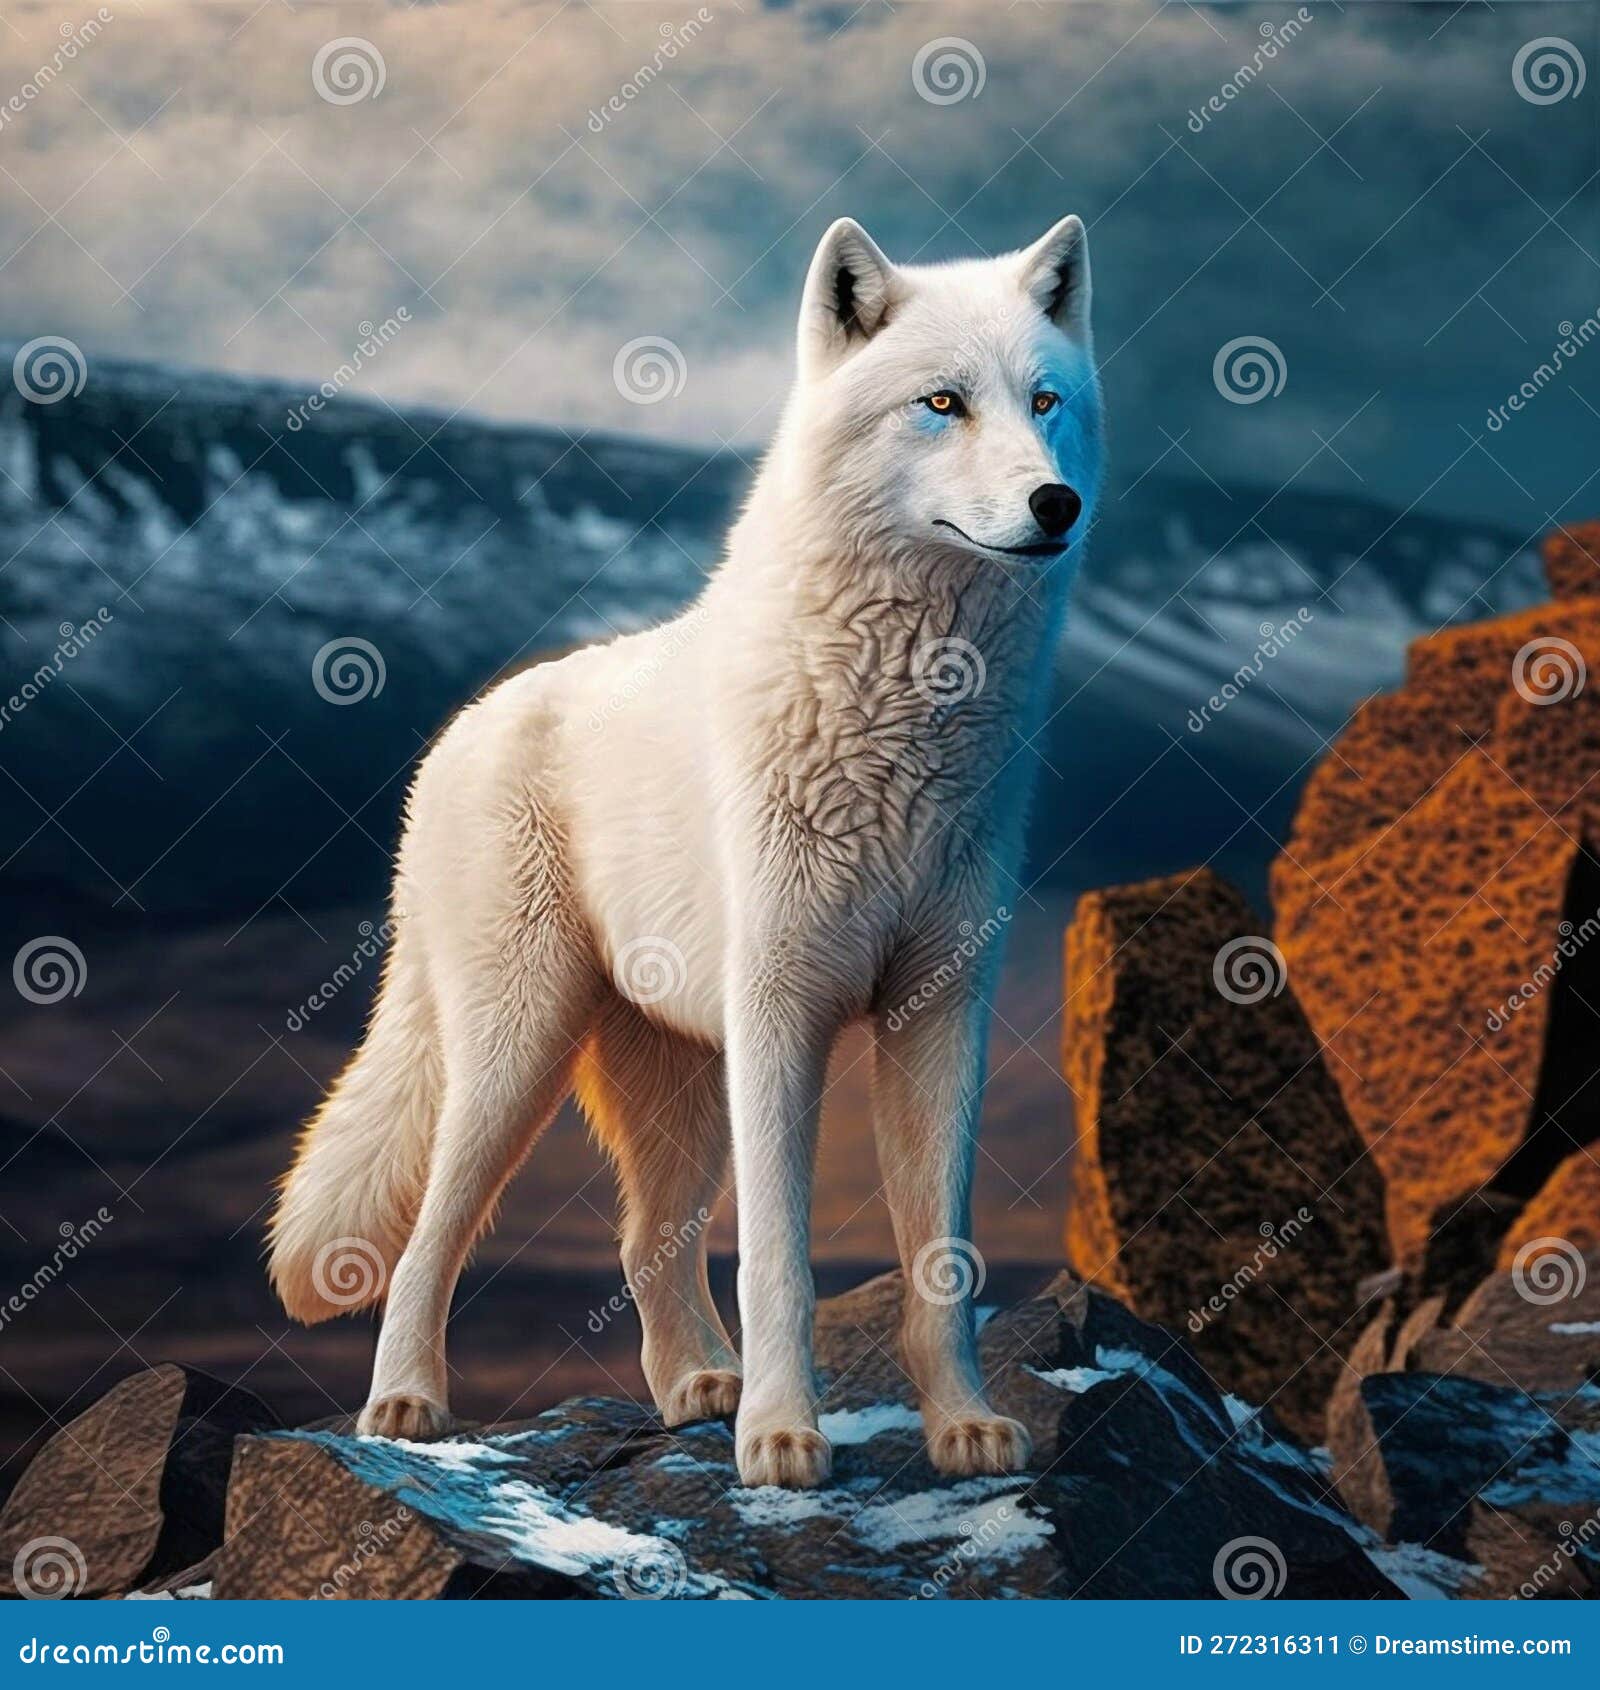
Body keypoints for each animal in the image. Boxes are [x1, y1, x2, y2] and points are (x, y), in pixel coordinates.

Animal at [269, 214, 1104, 1489]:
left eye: (1046, 401)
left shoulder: (941, 1011)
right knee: (428, 1236)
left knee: (641, 1241)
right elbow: (779, 1259)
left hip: (677, 1086)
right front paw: (781, 1438)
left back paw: (695, 1386)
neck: (908, 722)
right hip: (518, 1052)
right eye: (942, 403)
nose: (1054, 503)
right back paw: (407, 1403)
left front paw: (961, 1426)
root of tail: (452, 739)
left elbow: (941, 1258)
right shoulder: (780, 1013)